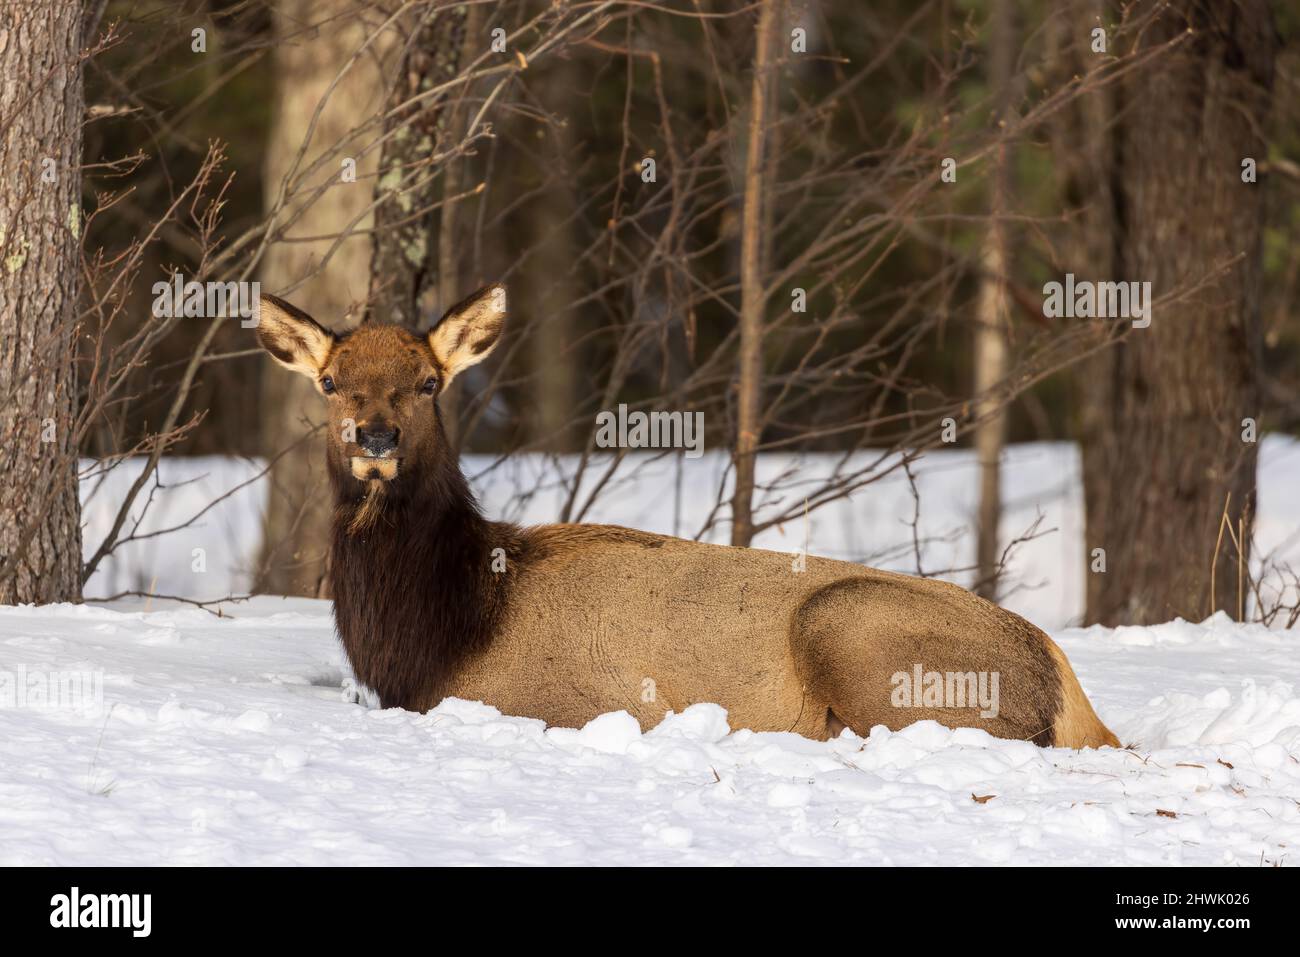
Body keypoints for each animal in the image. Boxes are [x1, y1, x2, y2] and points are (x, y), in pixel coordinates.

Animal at [254, 284, 1119, 749]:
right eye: (330, 381)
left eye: (429, 382)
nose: (375, 436)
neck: (447, 628)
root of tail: (1069, 689)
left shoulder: (580, 703)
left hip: (855, 630)